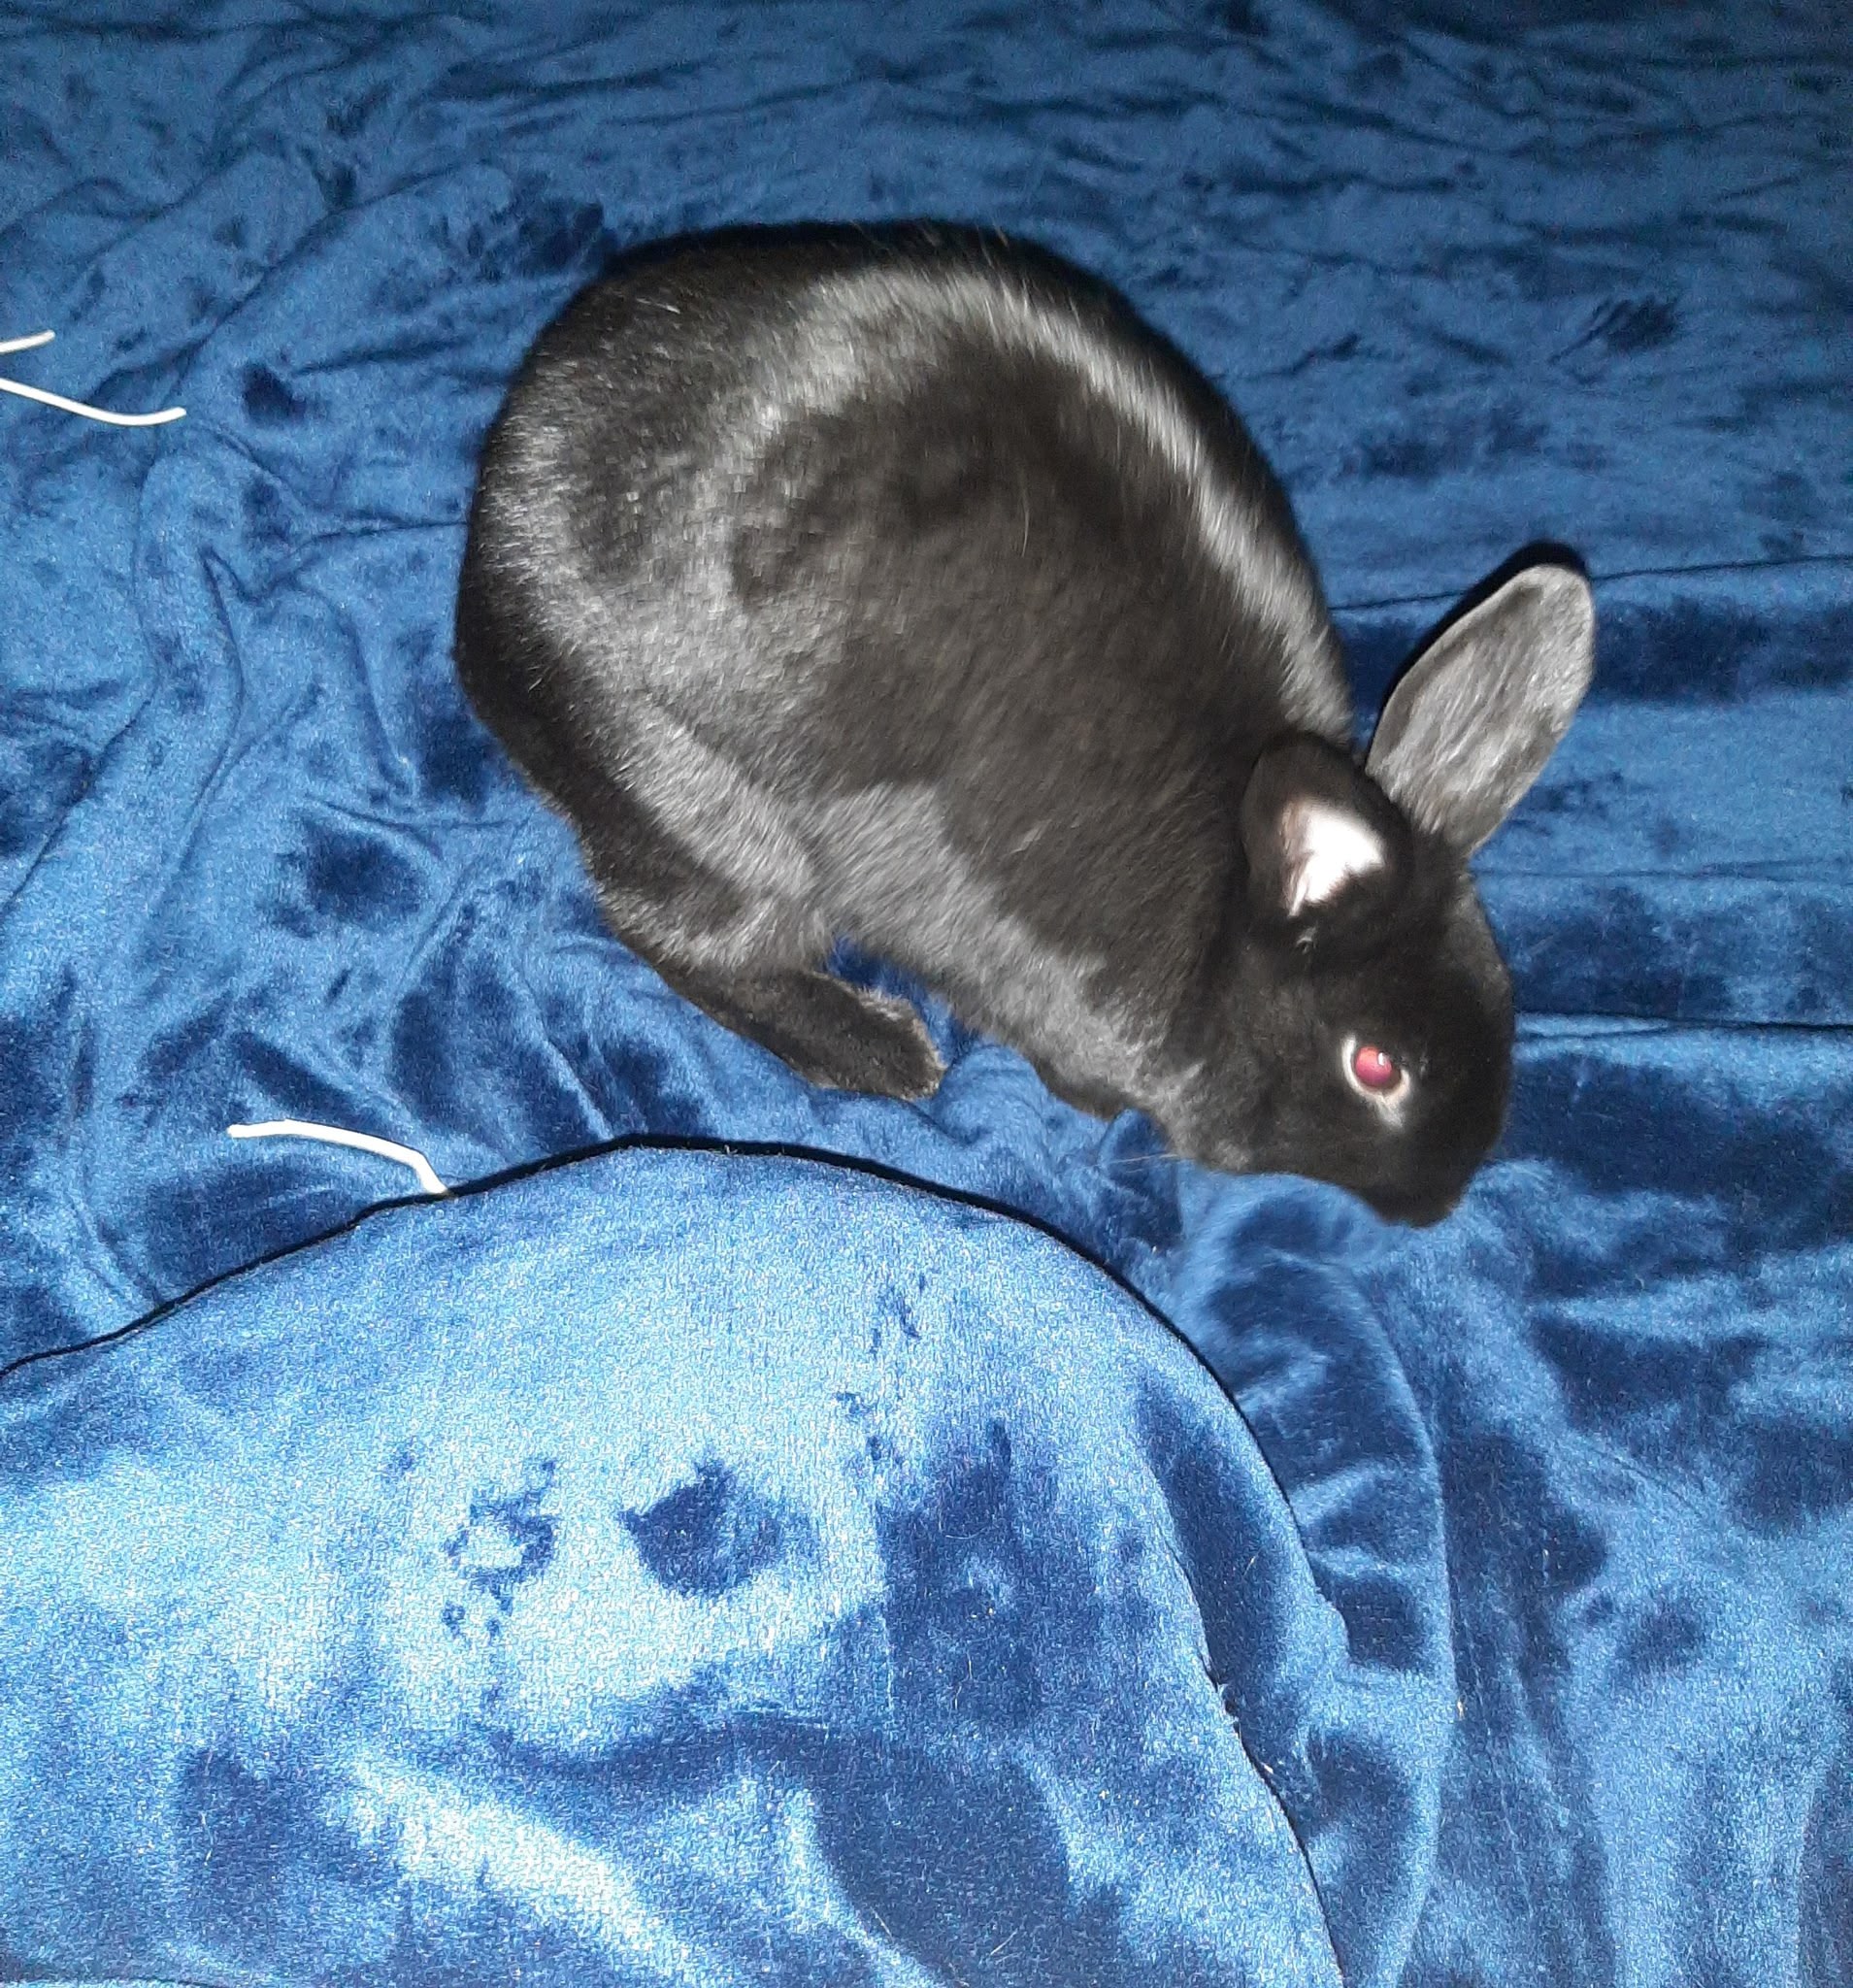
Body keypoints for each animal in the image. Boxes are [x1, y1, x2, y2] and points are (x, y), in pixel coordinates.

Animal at [456, 225, 1593, 1225]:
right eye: (1375, 1066)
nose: (1433, 1207)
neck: (1225, 915)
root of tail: (487, 554)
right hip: (707, 811)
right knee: (680, 938)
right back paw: (890, 1053)